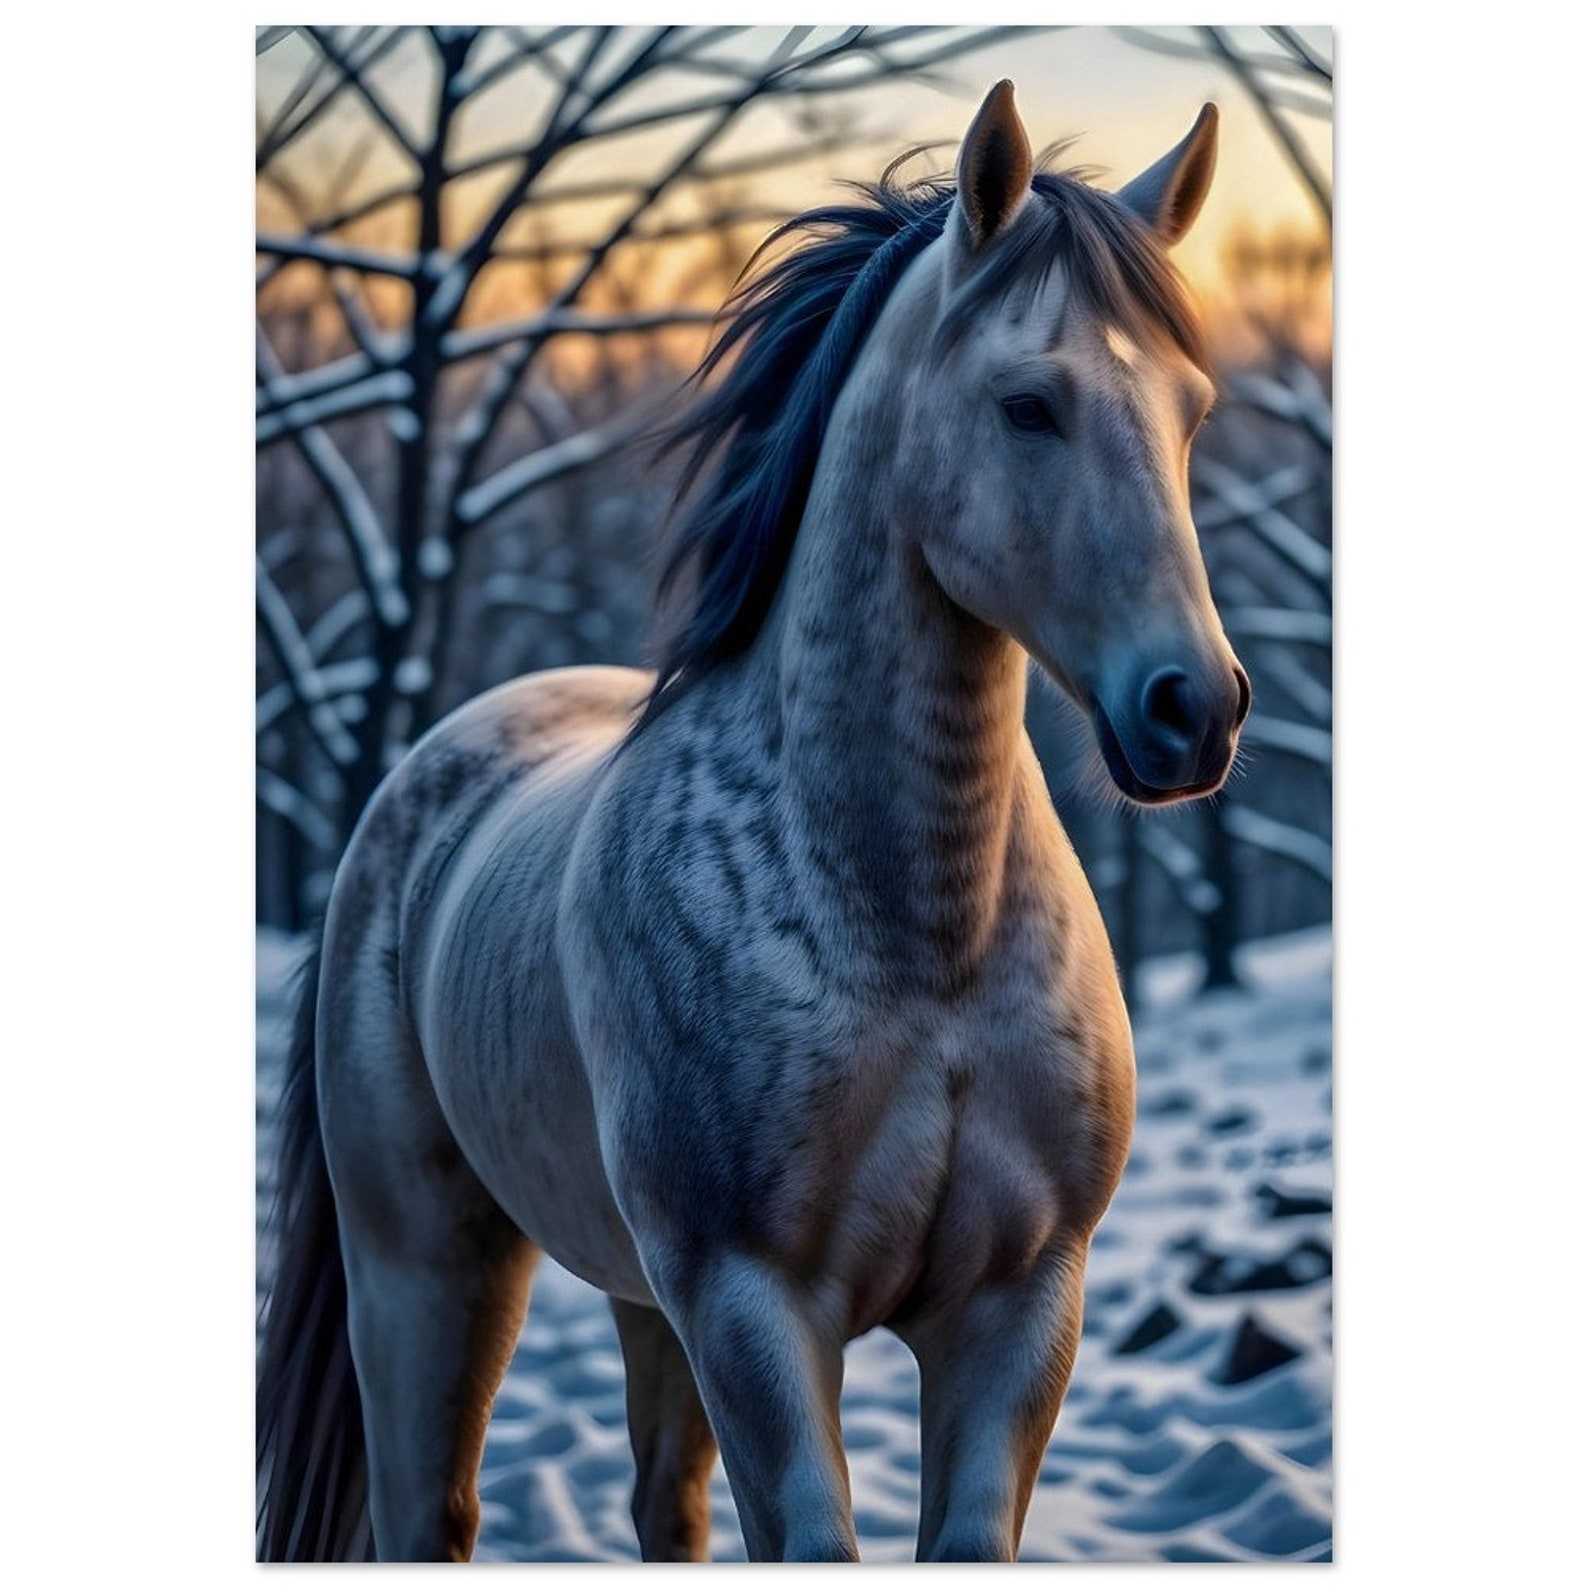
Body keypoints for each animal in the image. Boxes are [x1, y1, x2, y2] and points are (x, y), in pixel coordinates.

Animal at [256, 80, 1250, 1563]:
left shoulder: (1021, 1307)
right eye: (1028, 405)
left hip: (640, 1302)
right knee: (428, 1507)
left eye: (1193, 413)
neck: (921, 938)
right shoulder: (754, 1304)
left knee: (662, 1510)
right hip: (426, 1278)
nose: (1197, 710)